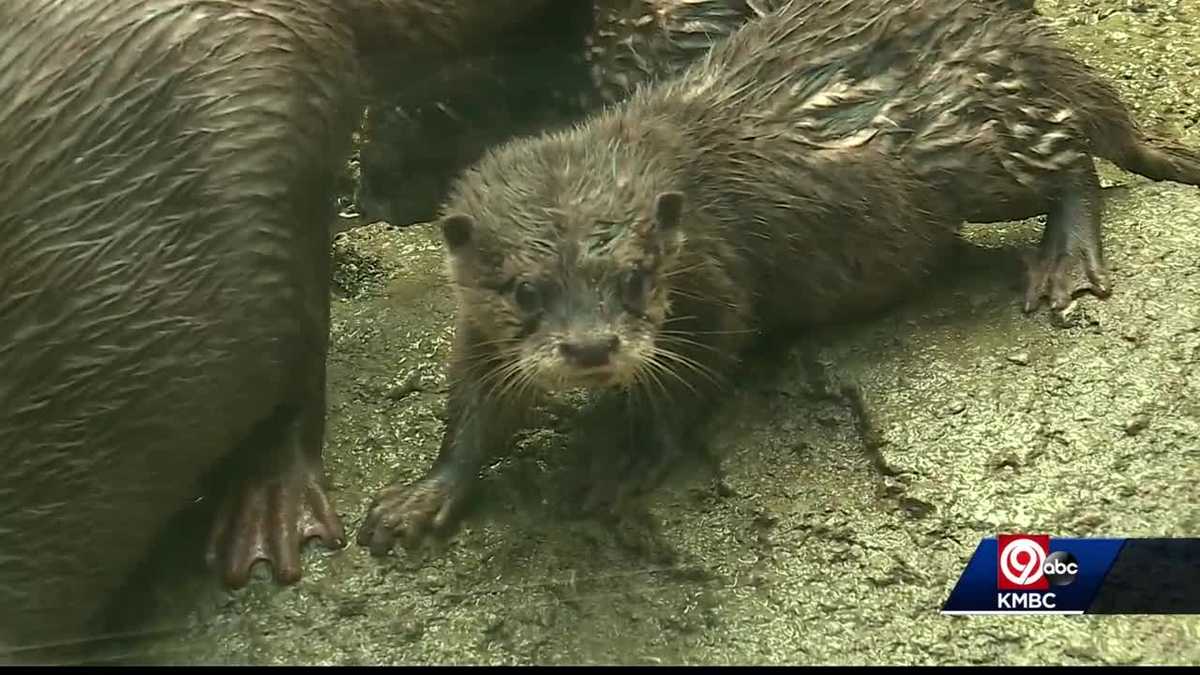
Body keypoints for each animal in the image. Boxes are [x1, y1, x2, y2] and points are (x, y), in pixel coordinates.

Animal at [357, 0, 1200, 555]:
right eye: (526, 290)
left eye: (636, 277)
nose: (592, 348)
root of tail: (1017, 36)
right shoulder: (479, 328)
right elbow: (473, 409)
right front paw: (419, 498)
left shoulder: (713, 281)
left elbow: (695, 373)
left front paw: (626, 454)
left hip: (971, 142)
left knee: (1075, 154)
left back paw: (1065, 261)